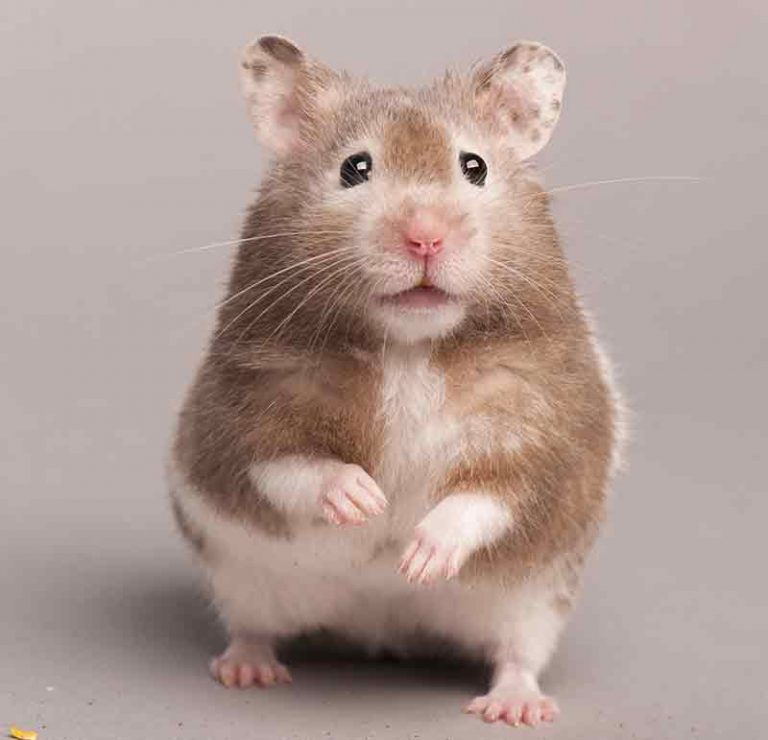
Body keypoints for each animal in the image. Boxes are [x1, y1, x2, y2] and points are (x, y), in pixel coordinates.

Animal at [169, 35, 624, 728]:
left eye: (474, 166)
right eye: (354, 168)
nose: (425, 237)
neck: (411, 346)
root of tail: (380, 626)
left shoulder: (543, 425)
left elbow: (489, 495)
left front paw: (416, 557)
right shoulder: (251, 404)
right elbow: (291, 464)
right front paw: (365, 502)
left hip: (537, 600)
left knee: (518, 652)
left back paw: (514, 708)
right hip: (239, 576)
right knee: (252, 625)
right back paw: (247, 670)